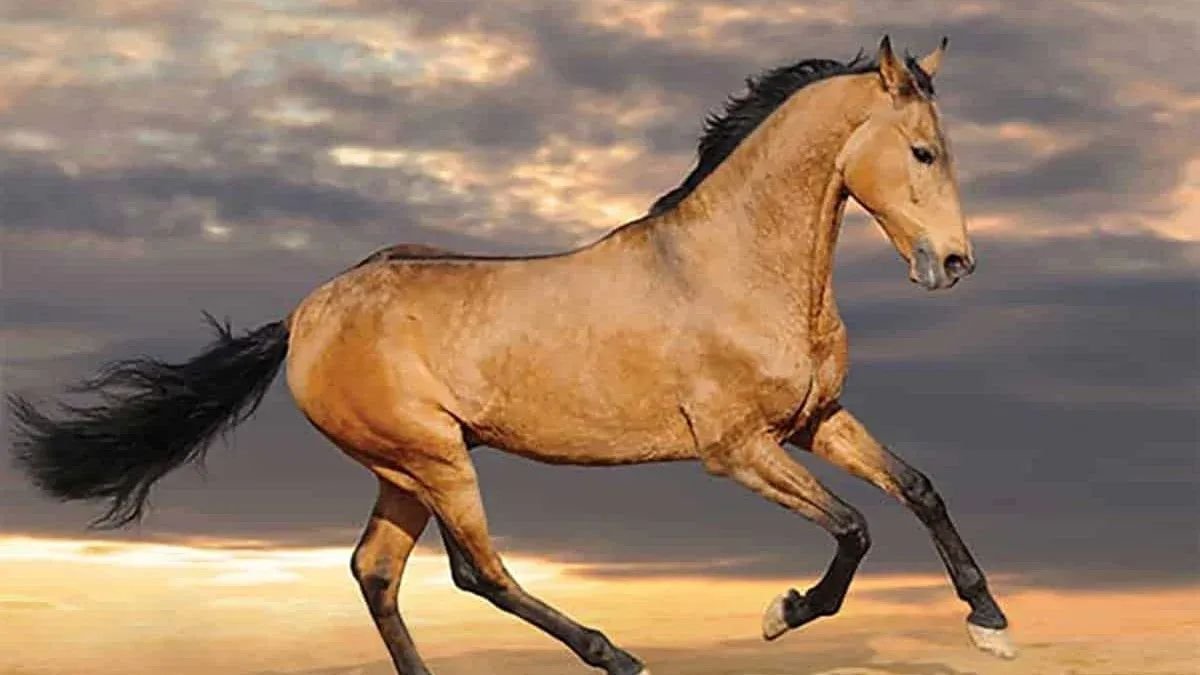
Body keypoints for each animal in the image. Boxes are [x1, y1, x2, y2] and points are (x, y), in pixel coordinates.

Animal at [9, 36, 1015, 674]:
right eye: (923, 151)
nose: (955, 263)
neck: (732, 265)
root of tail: (304, 314)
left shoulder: (814, 422)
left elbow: (919, 488)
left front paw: (991, 623)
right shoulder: (736, 450)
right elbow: (854, 528)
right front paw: (783, 612)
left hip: (404, 470)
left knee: (376, 571)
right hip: (430, 456)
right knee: (476, 570)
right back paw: (617, 656)